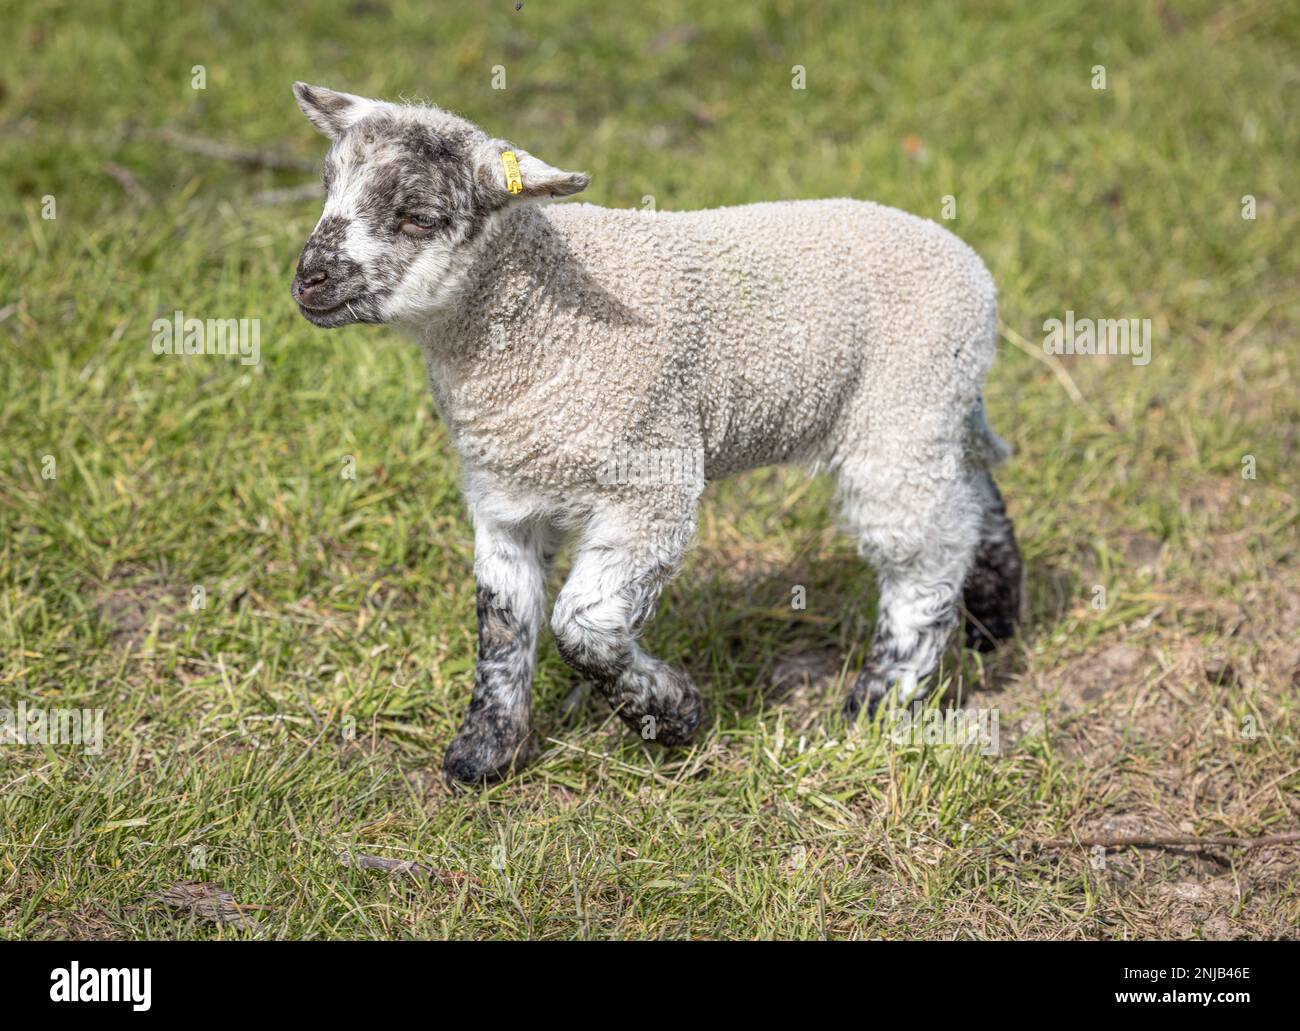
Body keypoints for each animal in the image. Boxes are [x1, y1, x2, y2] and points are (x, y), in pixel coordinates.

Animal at [288, 83, 1023, 783]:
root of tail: (969, 264)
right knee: (970, 494)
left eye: (419, 215)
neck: (536, 320)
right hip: (933, 410)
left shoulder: (651, 484)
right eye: (329, 187)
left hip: (898, 412)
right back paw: (995, 618)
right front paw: (484, 750)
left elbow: (580, 627)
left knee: (924, 557)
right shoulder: (505, 492)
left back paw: (881, 699)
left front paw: (672, 712)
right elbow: (502, 621)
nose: (308, 281)